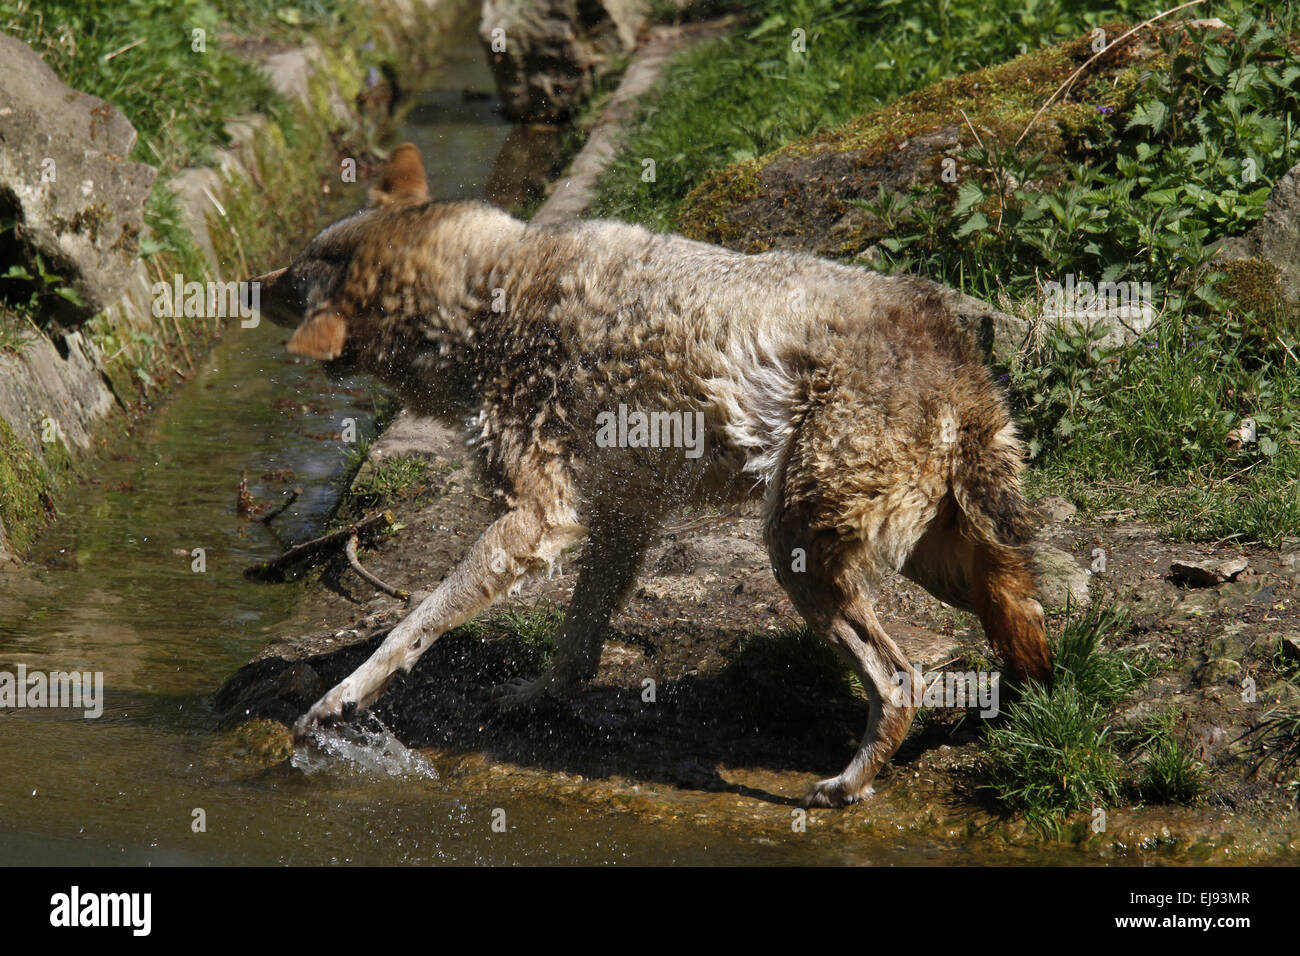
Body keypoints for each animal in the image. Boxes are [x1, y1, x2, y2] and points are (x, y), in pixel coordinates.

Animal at [252, 143, 1051, 808]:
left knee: (900, 679)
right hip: (933, 560)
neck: (484, 305)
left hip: (794, 551)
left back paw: (848, 785)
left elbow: (413, 624)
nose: (246, 284)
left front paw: (340, 701)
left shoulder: (536, 520)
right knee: (1023, 622)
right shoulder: (620, 517)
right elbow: (575, 641)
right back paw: (1025, 712)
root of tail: (955, 349)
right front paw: (539, 699)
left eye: (294, 275)